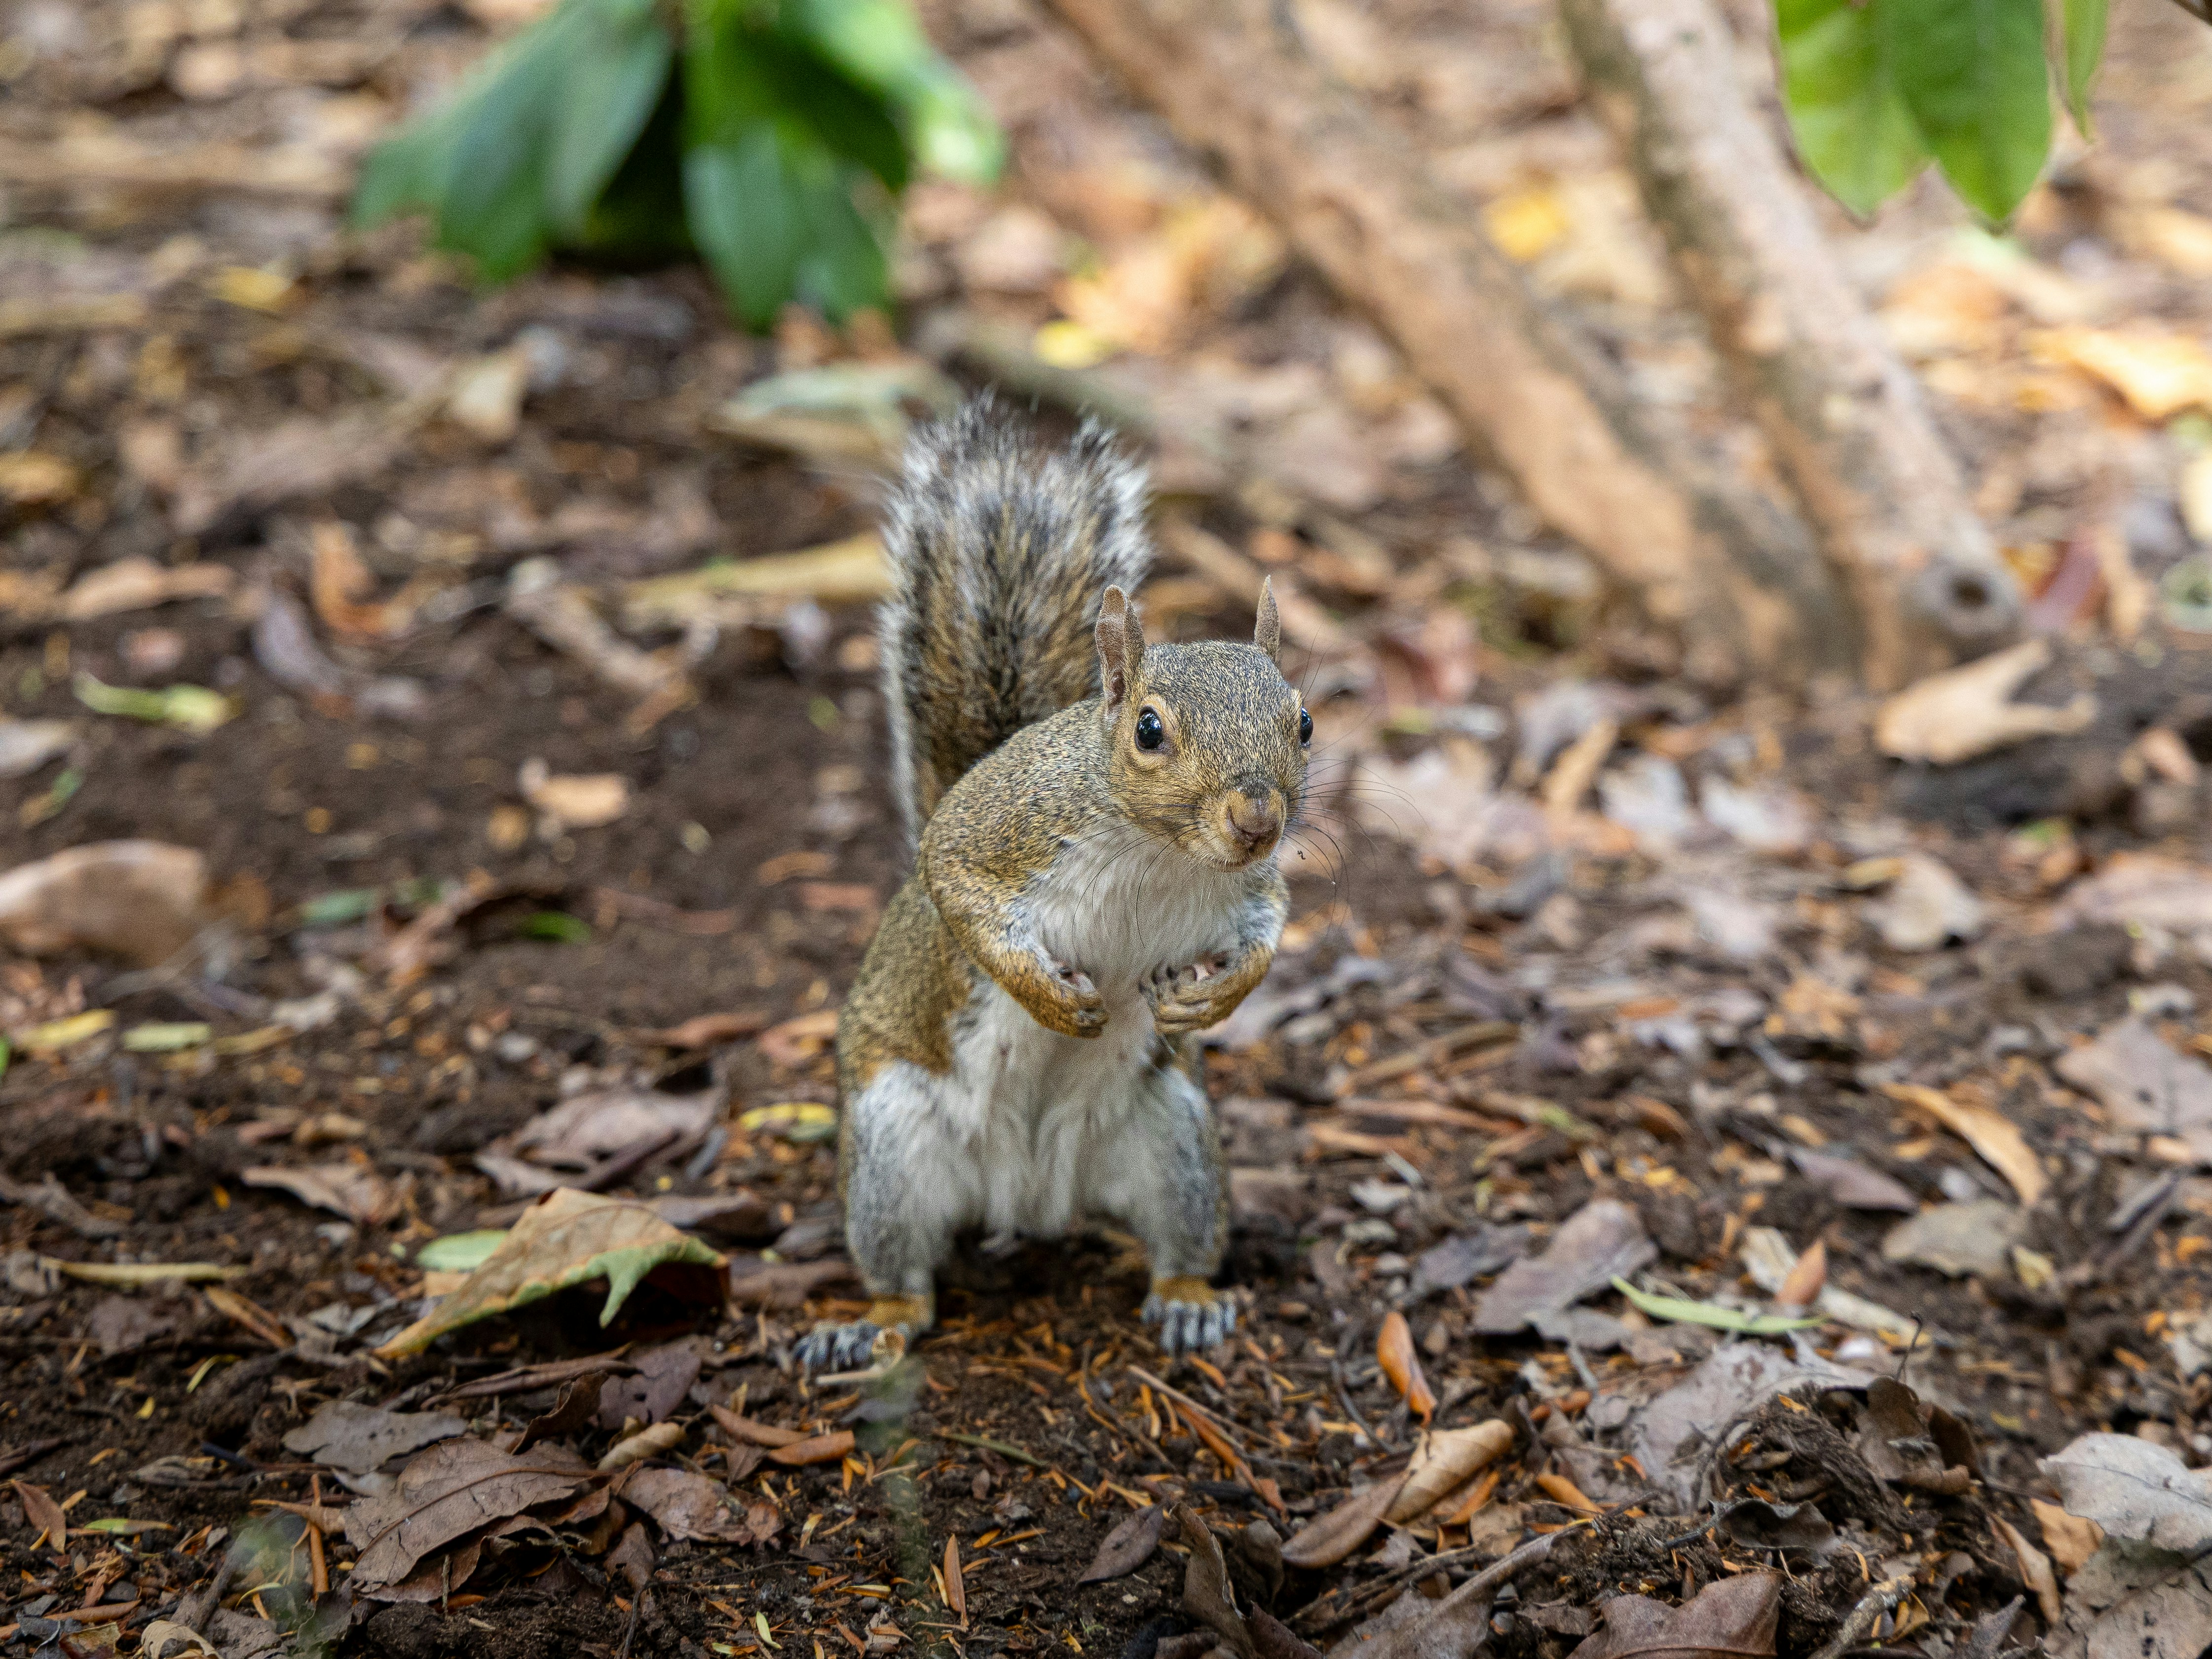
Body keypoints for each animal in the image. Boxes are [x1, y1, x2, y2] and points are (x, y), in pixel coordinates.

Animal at [796, 401, 1311, 1371]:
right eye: (1147, 729)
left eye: (1302, 720)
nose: (1258, 819)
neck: (1159, 852)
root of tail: (1031, 1196)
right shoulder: (996, 830)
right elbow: (956, 883)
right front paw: (1049, 999)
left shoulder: (1249, 889)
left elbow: (1267, 933)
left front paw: (1216, 997)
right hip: (890, 1148)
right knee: (905, 1278)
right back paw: (870, 1323)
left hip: (1175, 1141)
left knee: (1181, 1241)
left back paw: (1188, 1300)